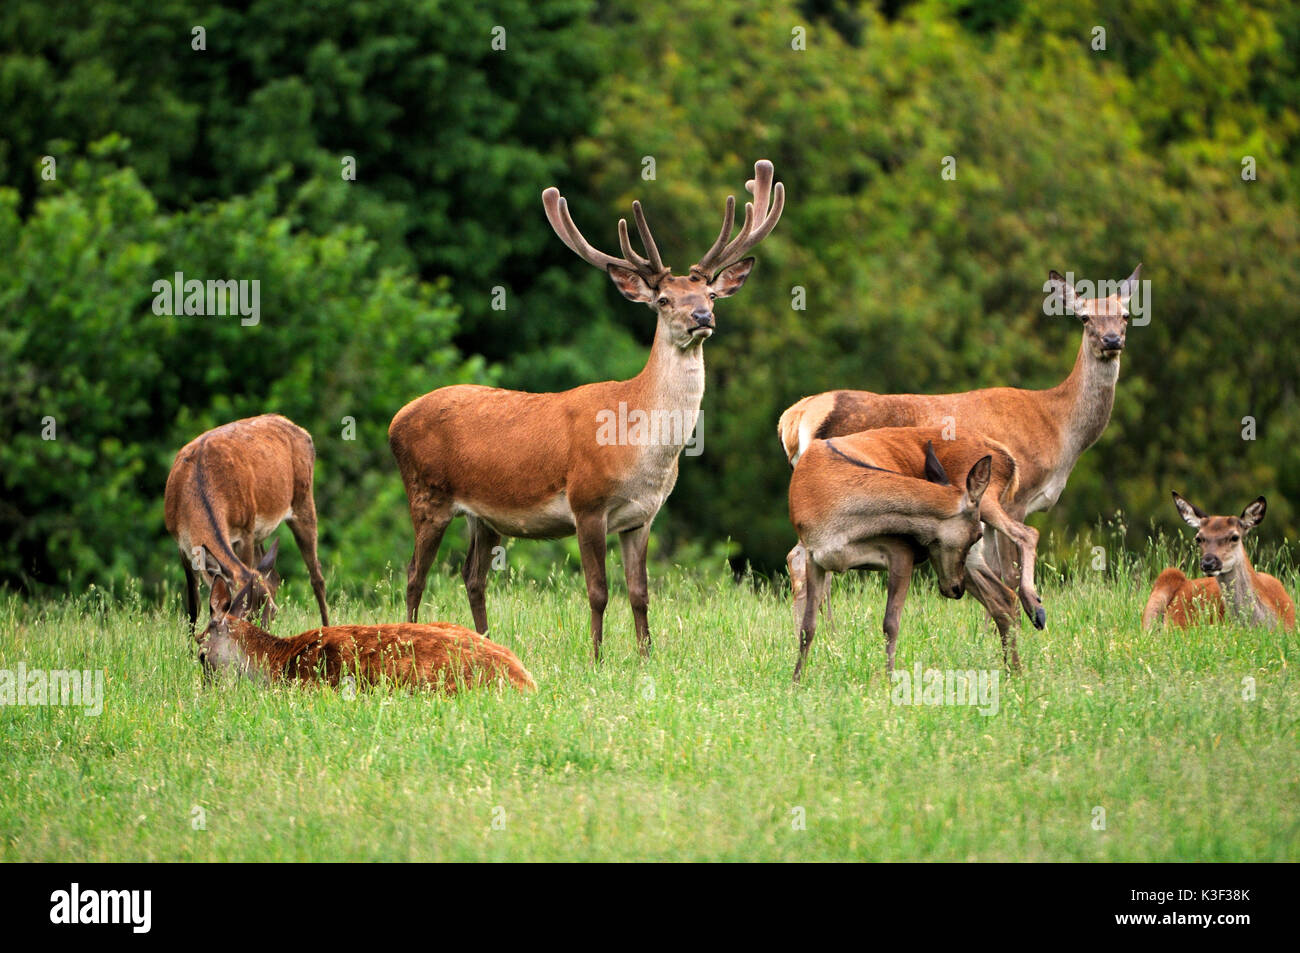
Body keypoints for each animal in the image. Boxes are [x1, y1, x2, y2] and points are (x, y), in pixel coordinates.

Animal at [164, 413, 329, 632]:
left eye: (273, 611)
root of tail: (301, 430)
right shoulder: (181, 544)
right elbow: (193, 608)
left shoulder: (245, 530)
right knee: (274, 576)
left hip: (303, 500)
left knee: (317, 576)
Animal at [390, 160, 784, 659]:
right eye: (663, 300)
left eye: (710, 296)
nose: (701, 318)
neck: (640, 445)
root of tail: (395, 420)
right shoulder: (586, 502)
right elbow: (598, 590)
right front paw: (596, 656)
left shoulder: (642, 516)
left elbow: (640, 592)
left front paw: (646, 655)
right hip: (427, 494)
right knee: (413, 576)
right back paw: (409, 641)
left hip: (485, 515)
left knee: (472, 577)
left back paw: (486, 644)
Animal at [778, 264, 1142, 632]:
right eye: (1084, 317)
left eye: (1126, 315)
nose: (1112, 340)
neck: (1057, 428)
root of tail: (795, 417)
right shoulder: (1016, 497)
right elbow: (1008, 569)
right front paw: (1025, 613)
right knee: (803, 557)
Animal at [790, 428, 1037, 671]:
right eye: (977, 535)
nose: (956, 590)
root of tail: (1009, 462)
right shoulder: (814, 555)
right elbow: (807, 627)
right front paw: (798, 679)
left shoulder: (902, 550)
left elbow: (891, 624)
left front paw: (888, 678)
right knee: (1002, 597)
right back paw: (1013, 669)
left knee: (1018, 557)